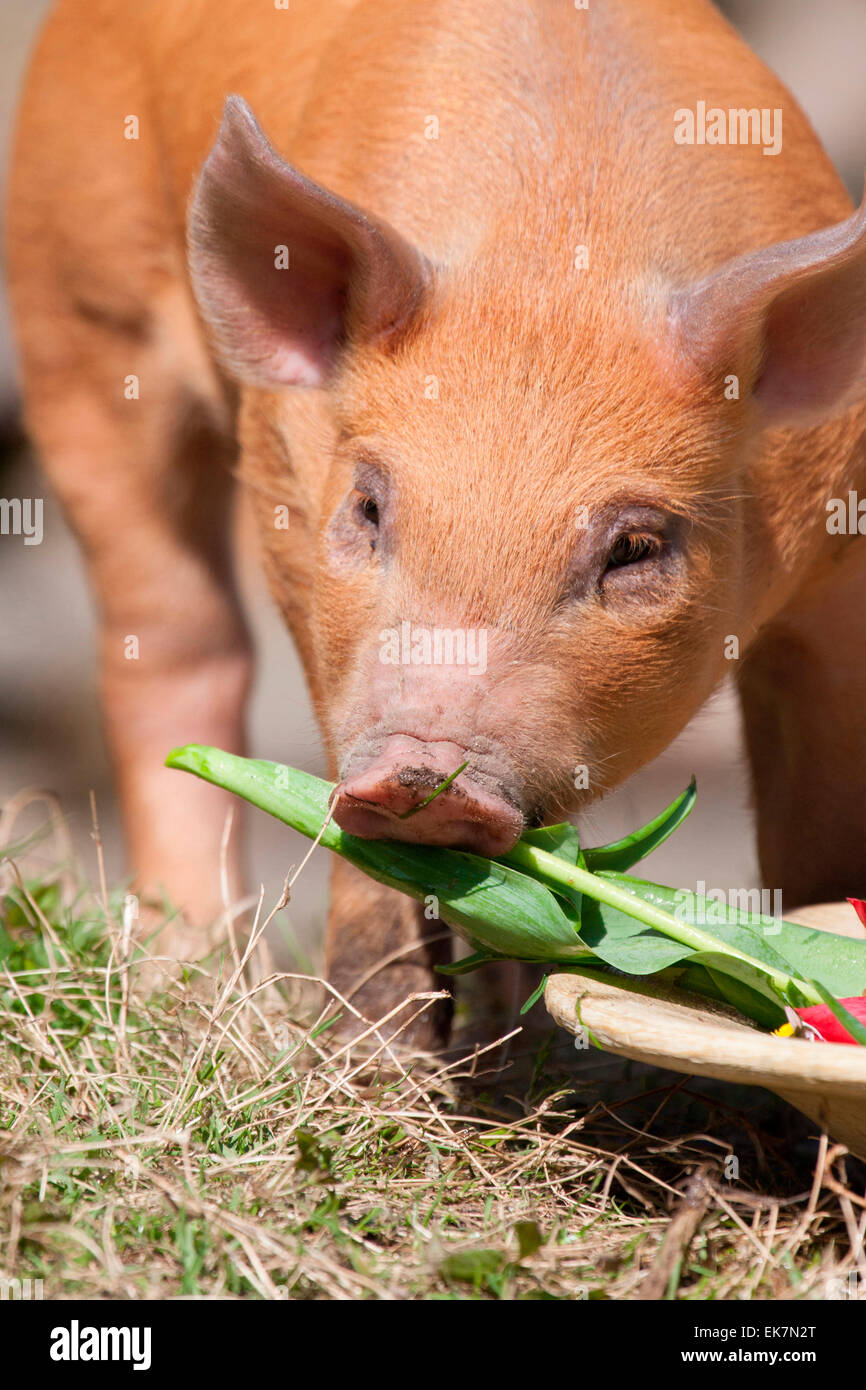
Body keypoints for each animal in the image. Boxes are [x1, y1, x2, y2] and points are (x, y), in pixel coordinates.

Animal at [7, 0, 866, 1047]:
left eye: (635, 549)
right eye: (369, 507)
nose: (419, 773)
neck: (560, 243)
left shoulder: (841, 550)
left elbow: (821, 813)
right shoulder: (295, 526)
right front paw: (379, 1060)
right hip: (77, 319)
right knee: (170, 641)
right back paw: (187, 975)